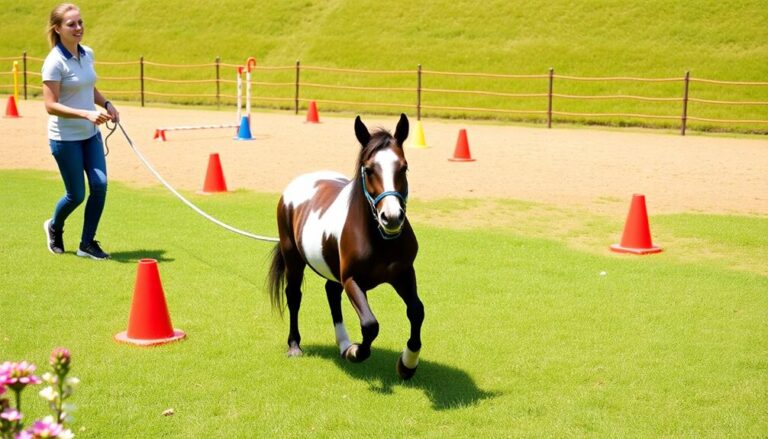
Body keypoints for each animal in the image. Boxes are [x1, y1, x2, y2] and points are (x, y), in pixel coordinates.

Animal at [267, 113, 424, 379]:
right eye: (369, 170)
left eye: (403, 167)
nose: (391, 217)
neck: (378, 240)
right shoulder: (352, 279)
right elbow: (370, 325)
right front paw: (356, 352)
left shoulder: (403, 273)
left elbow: (416, 311)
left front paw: (407, 364)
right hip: (293, 259)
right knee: (294, 296)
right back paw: (295, 345)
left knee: (331, 292)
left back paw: (343, 343)